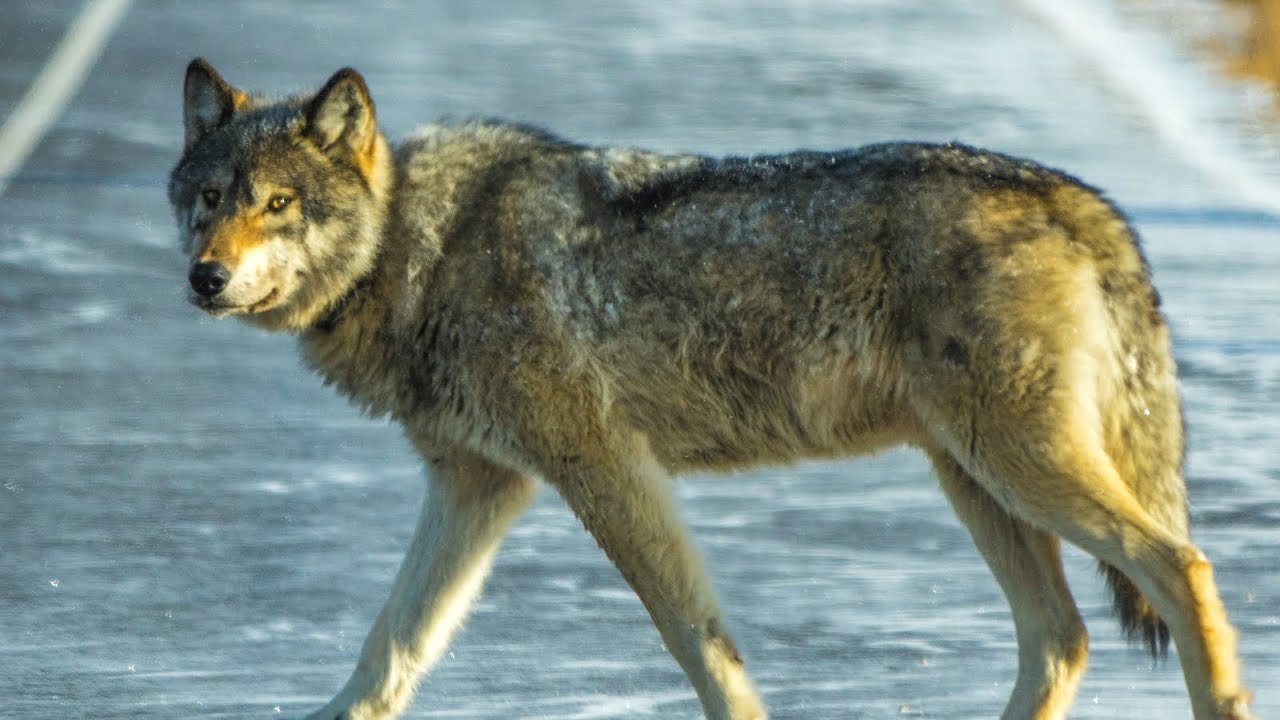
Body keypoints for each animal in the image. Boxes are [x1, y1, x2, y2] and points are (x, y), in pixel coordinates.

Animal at [168, 58, 1254, 720]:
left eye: (279, 204)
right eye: (209, 200)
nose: (203, 278)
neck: (421, 247)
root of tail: (1067, 191)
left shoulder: (601, 468)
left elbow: (695, 639)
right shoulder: (480, 485)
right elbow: (392, 642)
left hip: (1017, 470)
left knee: (1180, 567)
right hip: (976, 483)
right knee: (1061, 638)